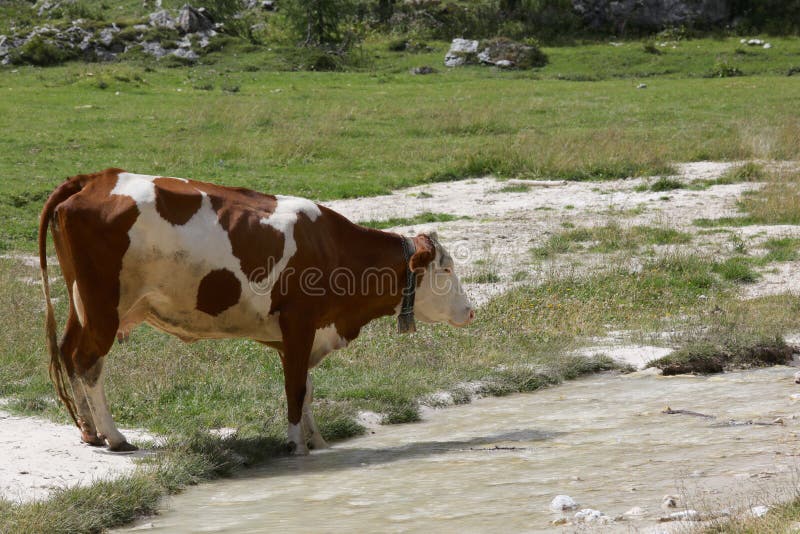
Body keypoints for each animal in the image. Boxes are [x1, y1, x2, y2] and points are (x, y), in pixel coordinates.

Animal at [38, 169, 475, 454]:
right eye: (446, 269)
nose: (471, 311)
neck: (334, 249)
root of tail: (95, 178)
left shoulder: (302, 334)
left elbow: (307, 387)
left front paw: (317, 440)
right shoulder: (299, 323)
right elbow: (295, 388)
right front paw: (297, 445)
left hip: (82, 305)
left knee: (69, 353)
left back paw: (90, 432)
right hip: (103, 305)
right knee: (88, 362)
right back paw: (114, 437)